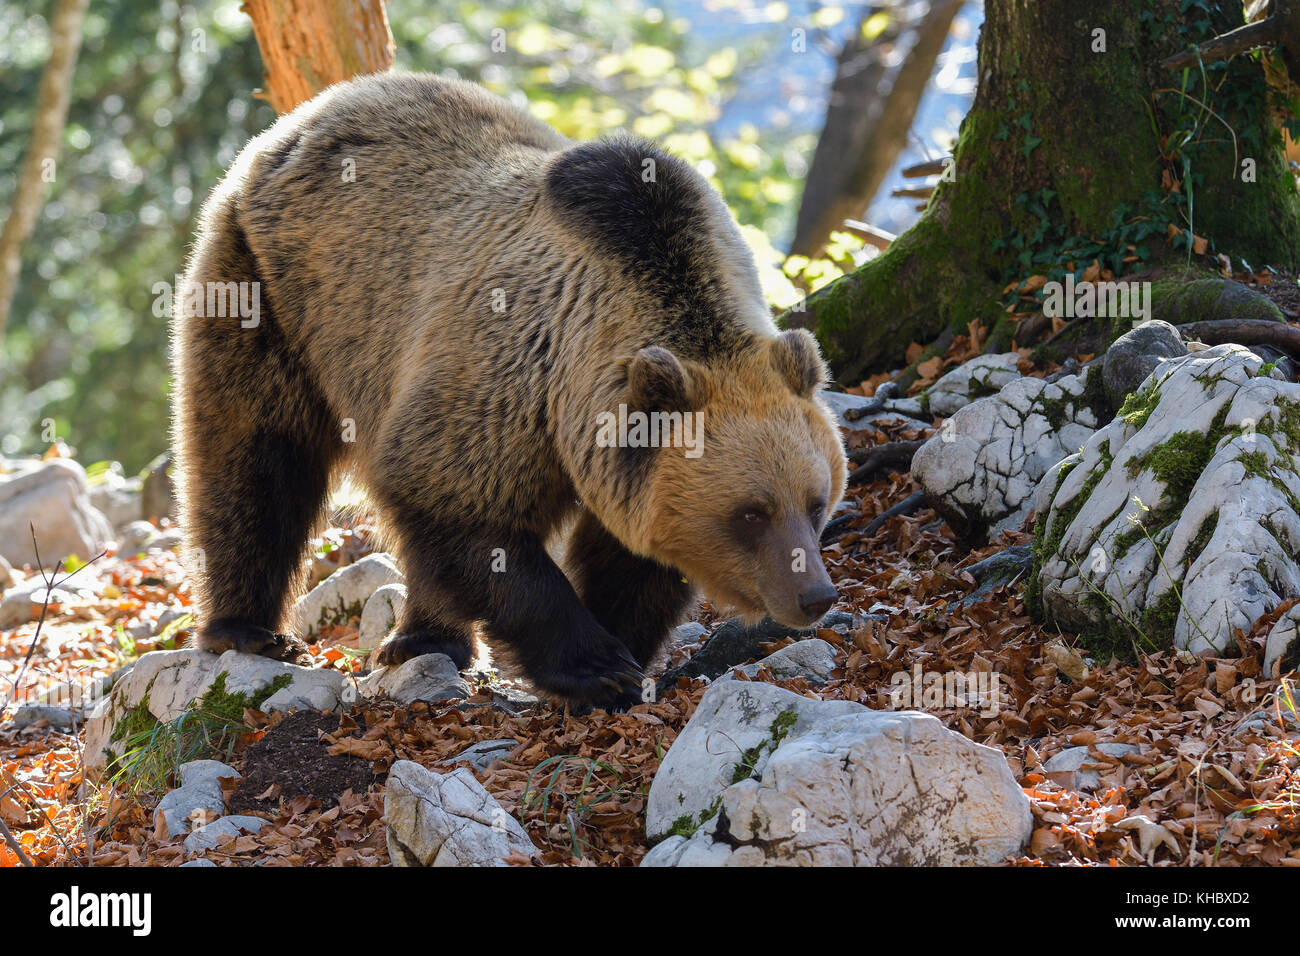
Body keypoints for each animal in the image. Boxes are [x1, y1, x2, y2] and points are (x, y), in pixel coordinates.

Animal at [173, 72, 847, 709]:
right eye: (751, 513)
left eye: (816, 503)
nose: (814, 595)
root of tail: (307, 114)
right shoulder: (508, 380)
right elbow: (457, 505)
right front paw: (595, 667)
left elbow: (631, 558)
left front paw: (622, 649)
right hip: (275, 294)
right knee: (255, 458)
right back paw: (250, 629)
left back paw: (424, 638)